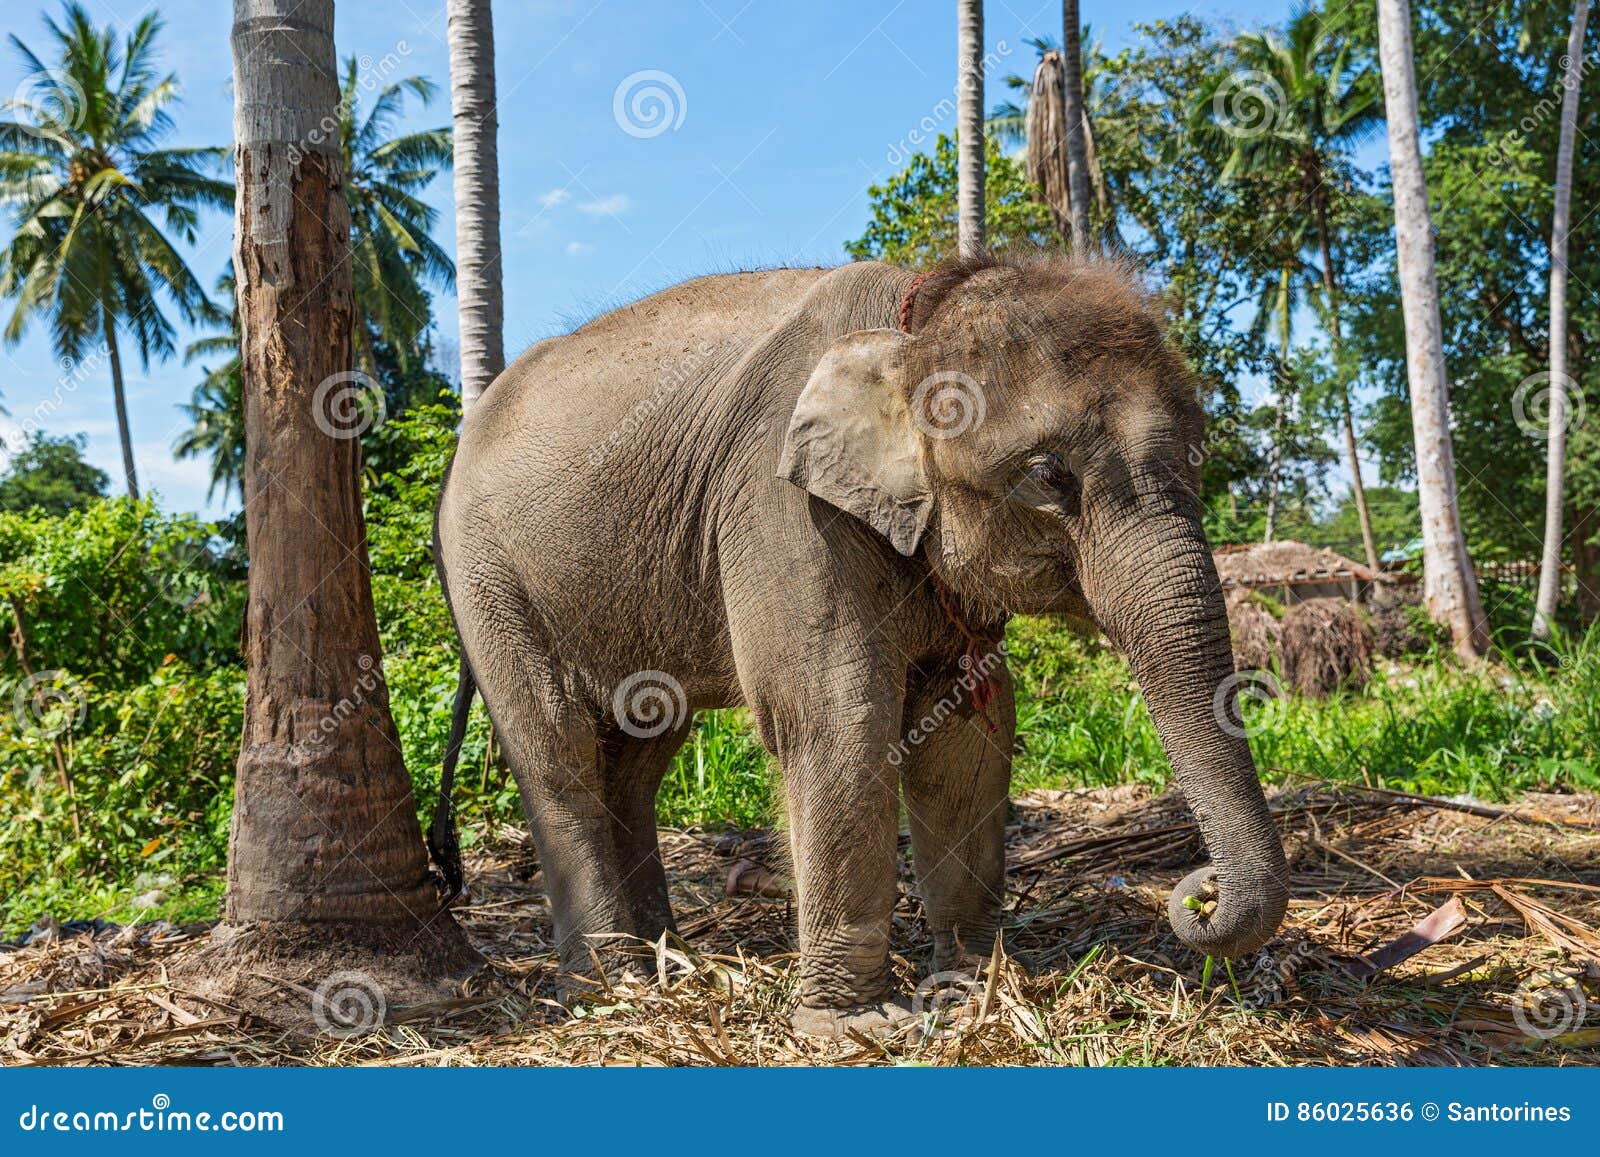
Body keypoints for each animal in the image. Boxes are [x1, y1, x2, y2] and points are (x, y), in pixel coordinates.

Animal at [431, 253, 1289, 1038]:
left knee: (637, 754)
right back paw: (613, 988)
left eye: (1199, 454)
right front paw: (853, 1026)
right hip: (488, 575)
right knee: (557, 751)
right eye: (1048, 474)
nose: (1199, 890)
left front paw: (970, 984)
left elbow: (968, 736)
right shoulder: (780, 499)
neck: (915, 323)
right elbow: (834, 717)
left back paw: (673, 965)